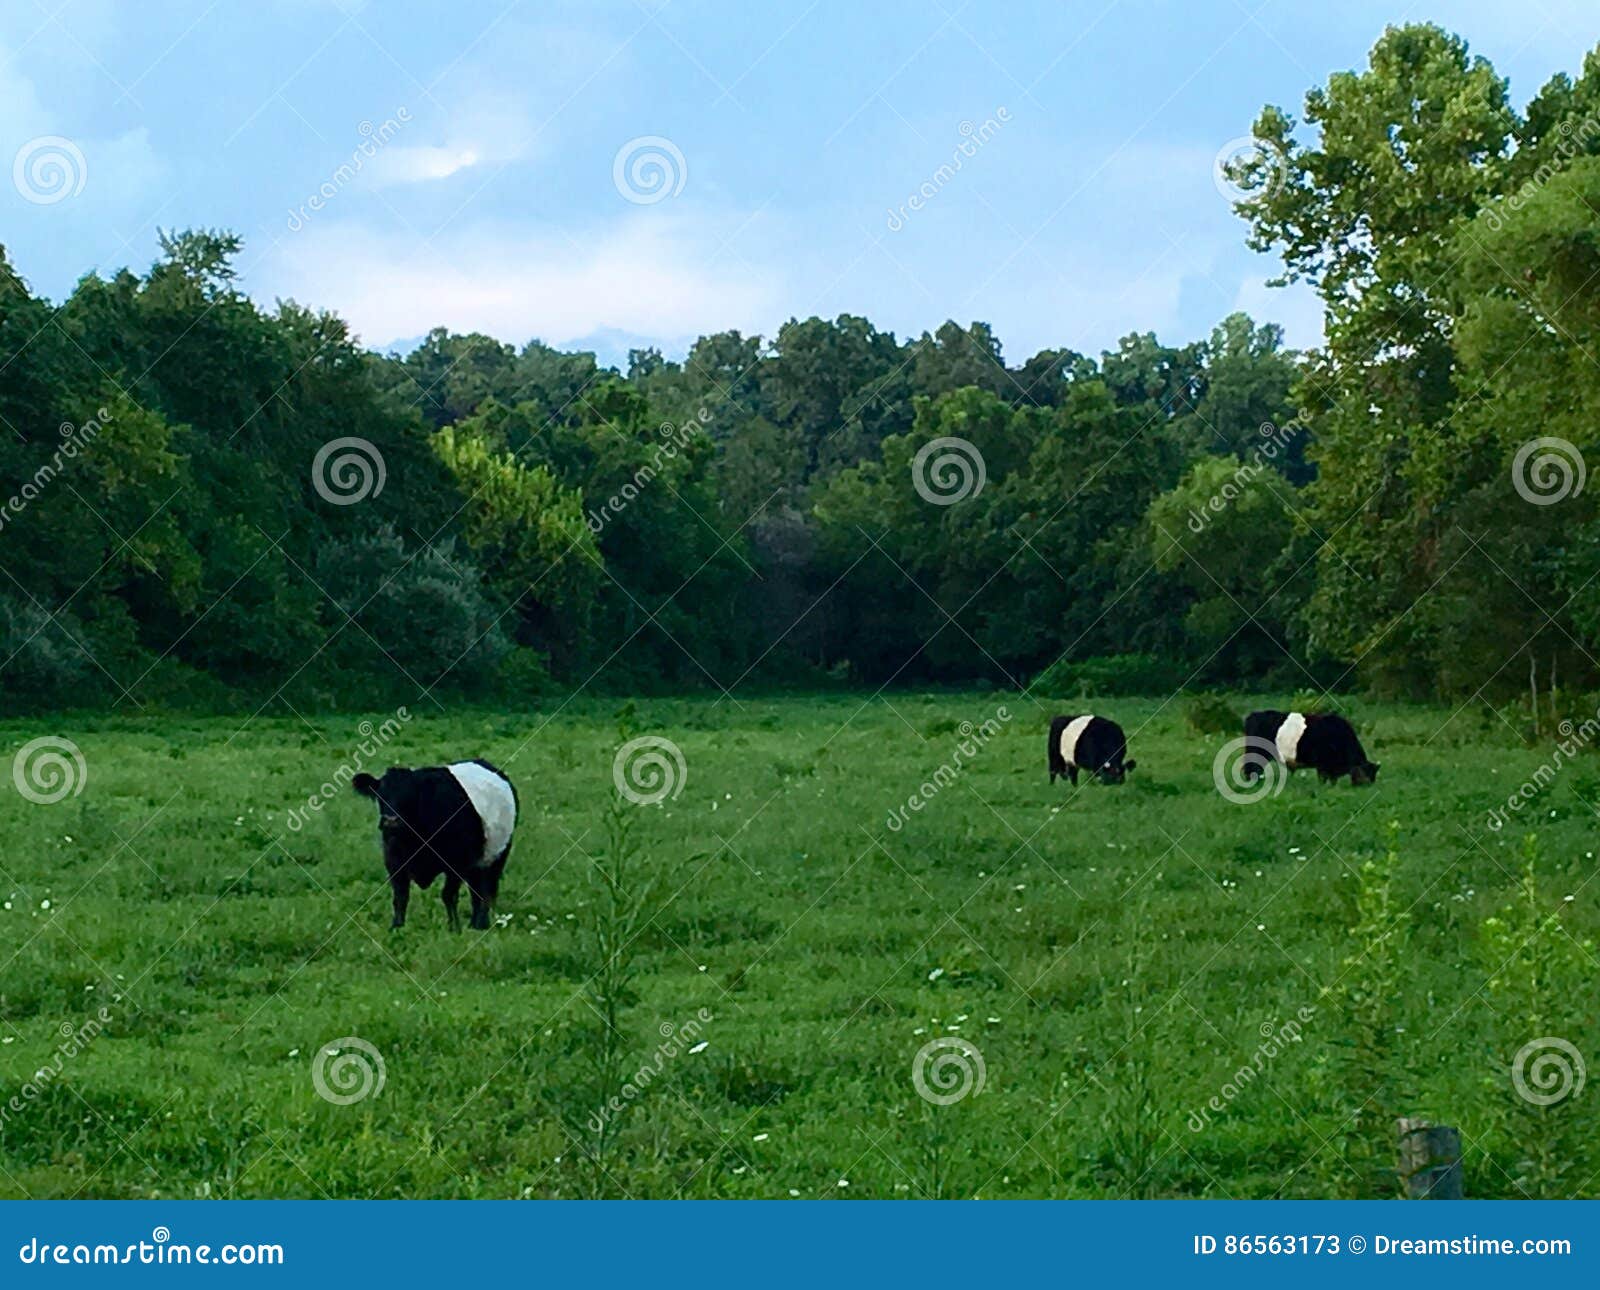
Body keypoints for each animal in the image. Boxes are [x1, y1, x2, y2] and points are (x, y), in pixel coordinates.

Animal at [352, 760, 518, 930]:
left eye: (410, 795)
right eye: (380, 796)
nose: (391, 821)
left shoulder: (457, 863)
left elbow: (448, 895)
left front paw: (454, 928)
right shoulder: (394, 862)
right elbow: (400, 897)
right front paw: (397, 928)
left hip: (496, 856)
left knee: (487, 890)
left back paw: (480, 925)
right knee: (476, 891)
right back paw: (474, 925)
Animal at [1240, 710, 1378, 786]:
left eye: (1373, 777)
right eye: (1366, 775)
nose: (1366, 789)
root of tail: (1254, 715)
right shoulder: (1323, 765)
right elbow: (1323, 778)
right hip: (1255, 751)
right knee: (1251, 767)